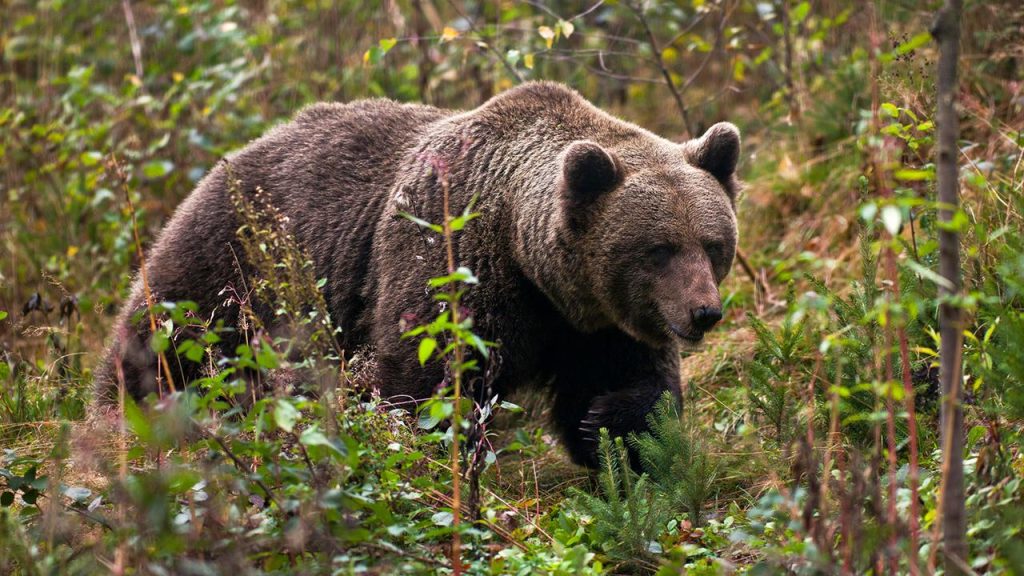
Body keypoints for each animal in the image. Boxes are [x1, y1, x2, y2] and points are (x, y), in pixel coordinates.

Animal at [94, 81, 737, 467]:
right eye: (658, 249)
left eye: (713, 245)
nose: (704, 312)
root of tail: (231, 155)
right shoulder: (453, 257)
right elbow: (427, 380)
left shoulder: (594, 321)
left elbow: (635, 384)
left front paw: (612, 430)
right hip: (235, 262)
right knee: (163, 344)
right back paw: (120, 425)